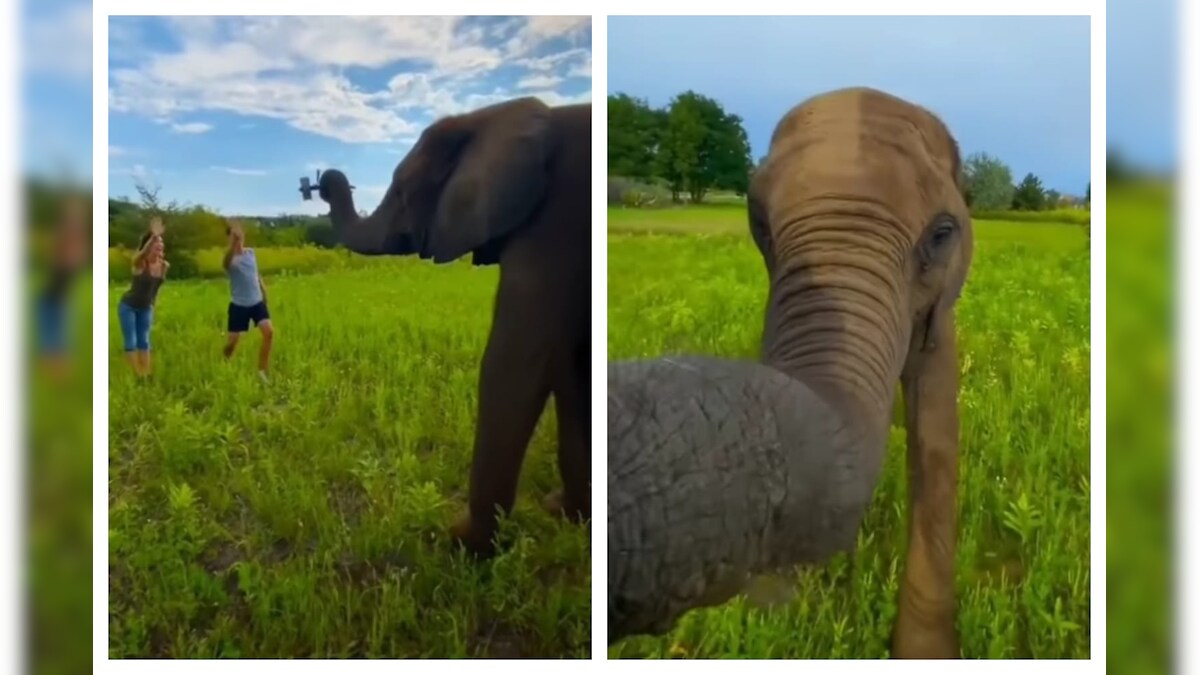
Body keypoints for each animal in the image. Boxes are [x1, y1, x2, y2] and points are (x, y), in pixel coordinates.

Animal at [312, 96, 592, 558]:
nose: (322, 181)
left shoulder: (552, 225)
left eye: (403, 192)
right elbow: (571, 368)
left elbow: (518, 363)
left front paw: (461, 543)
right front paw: (567, 514)